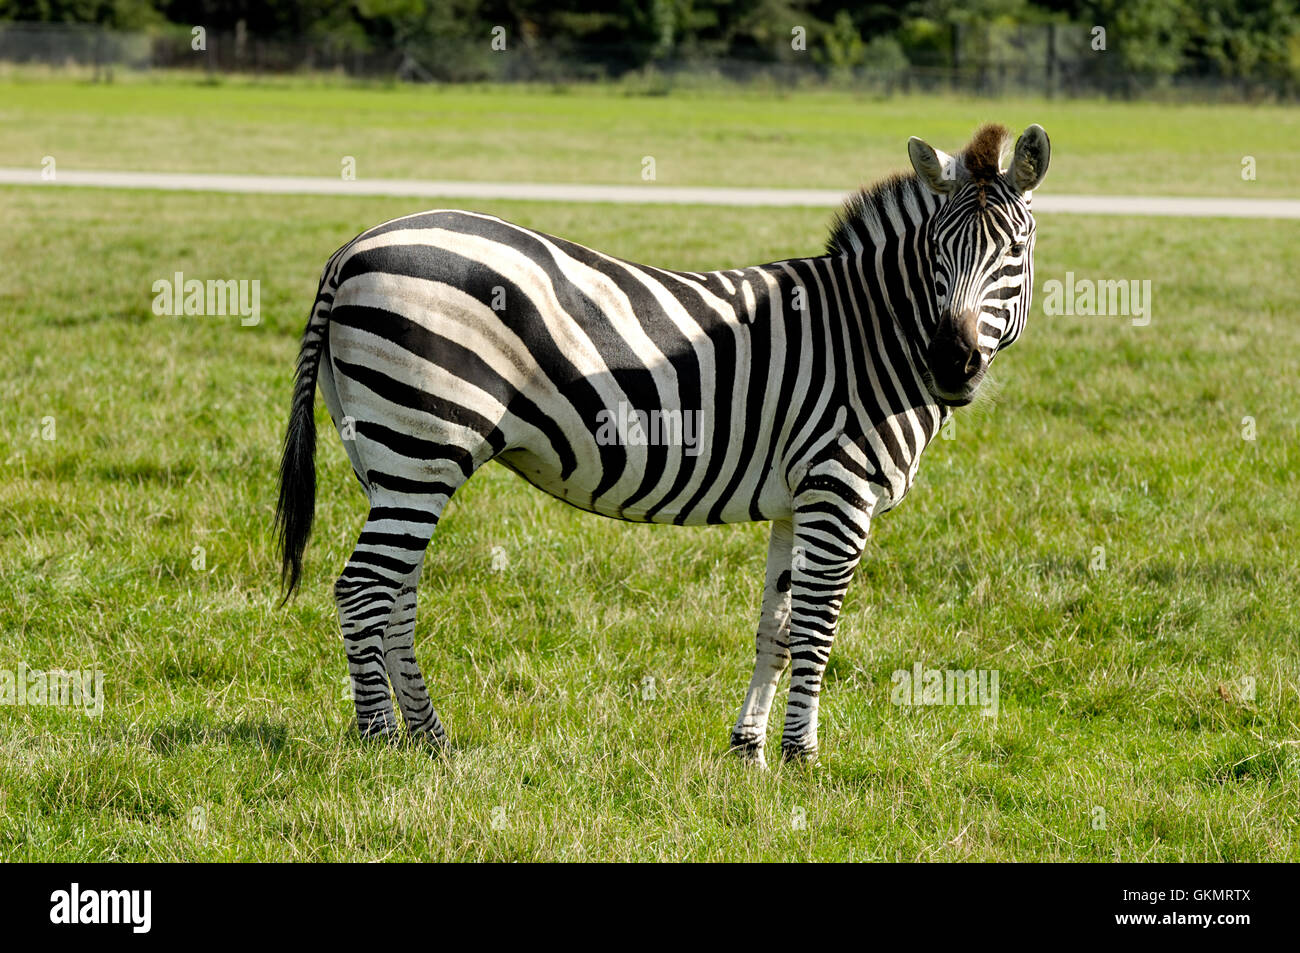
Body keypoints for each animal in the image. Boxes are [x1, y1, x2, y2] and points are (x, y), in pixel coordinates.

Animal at [276, 122, 1050, 766]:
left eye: (1013, 251)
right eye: (937, 252)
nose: (952, 363)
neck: (872, 337)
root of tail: (355, 247)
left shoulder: (798, 500)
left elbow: (778, 629)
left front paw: (749, 752)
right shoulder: (840, 491)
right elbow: (817, 628)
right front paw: (802, 758)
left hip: (389, 457)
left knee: (397, 591)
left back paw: (430, 737)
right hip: (421, 446)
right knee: (365, 588)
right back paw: (378, 743)